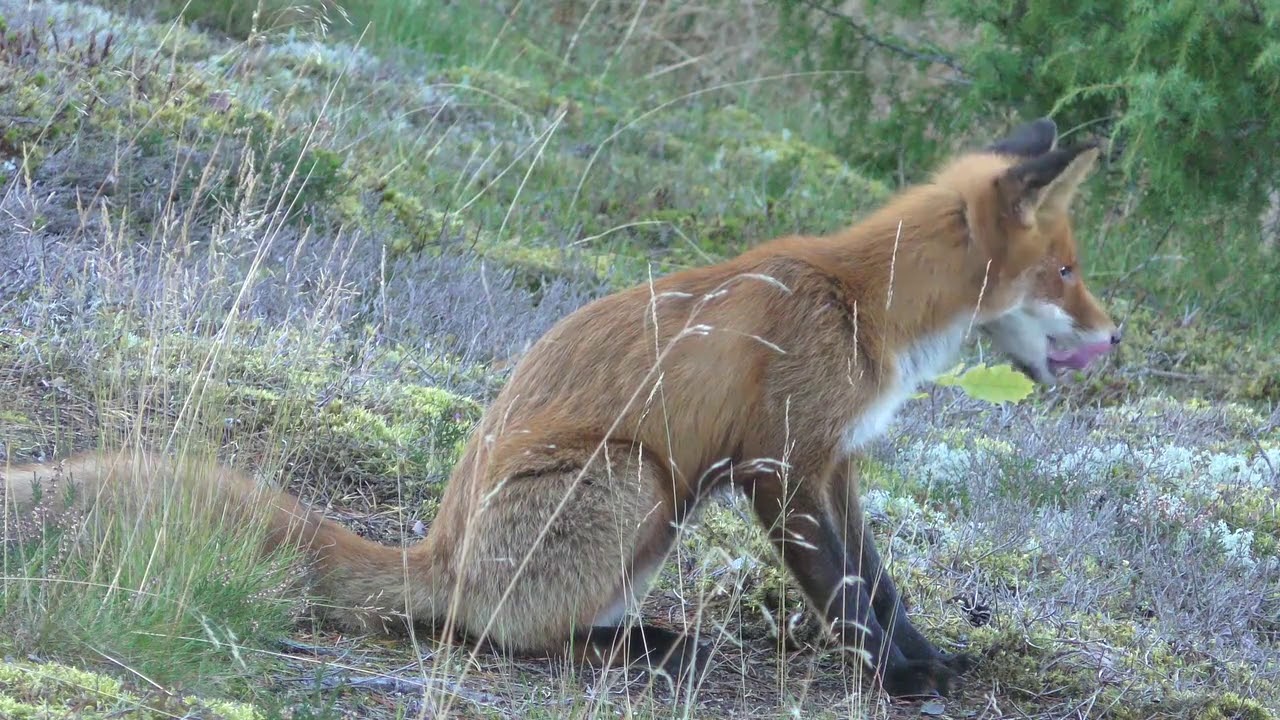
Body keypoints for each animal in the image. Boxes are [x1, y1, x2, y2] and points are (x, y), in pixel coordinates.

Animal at [2, 117, 1118, 698]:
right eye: (1065, 272)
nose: (1115, 338)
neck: (857, 302)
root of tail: (439, 551)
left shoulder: (832, 461)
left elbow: (881, 587)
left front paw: (927, 661)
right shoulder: (782, 465)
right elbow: (846, 595)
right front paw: (902, 682)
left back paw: (652, 638)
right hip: (636, 481)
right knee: (505, 634)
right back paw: (629, 652)